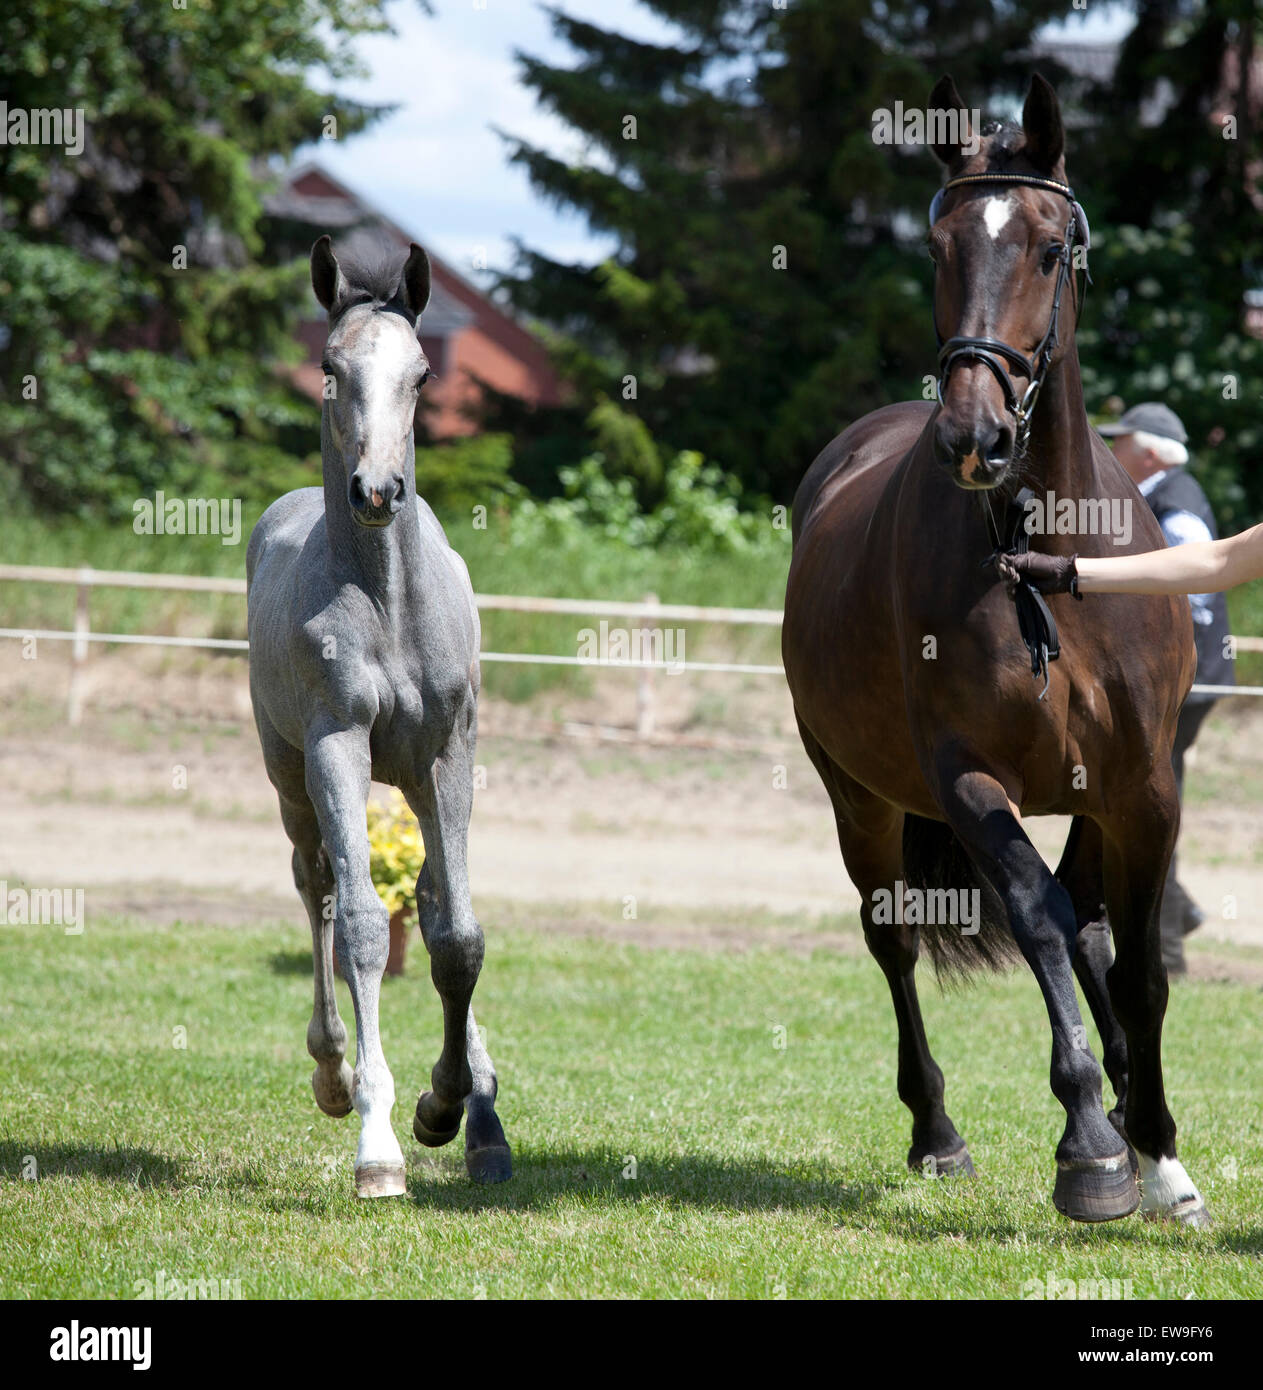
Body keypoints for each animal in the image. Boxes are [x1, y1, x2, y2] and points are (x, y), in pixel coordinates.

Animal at [246, 235, 510, 1197]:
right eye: (330, 366)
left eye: (422, 373)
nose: (376, 490)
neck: (389, 602)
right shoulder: (336, 747)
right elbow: (363, 926)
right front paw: (381, 1141)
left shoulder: (449, 755)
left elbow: (458, 936)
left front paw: (450, 1106)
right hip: (290, 774)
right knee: (318, 887)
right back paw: (334, 1072)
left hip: (416, 778)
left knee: (432, 897)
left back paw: (482, 1113)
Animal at [782, 74, 1209, 1226]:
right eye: (938, 248)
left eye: (1052, 249)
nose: (973, 436)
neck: (1047, 556)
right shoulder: (968, 782)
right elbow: (1040, 923)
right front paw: (1093, 1148)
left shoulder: (1142, 787)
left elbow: (1135, 965)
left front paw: (1158, 1148)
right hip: (860, 799)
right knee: (898, 938)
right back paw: (938, 1132)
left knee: (1095, 930)